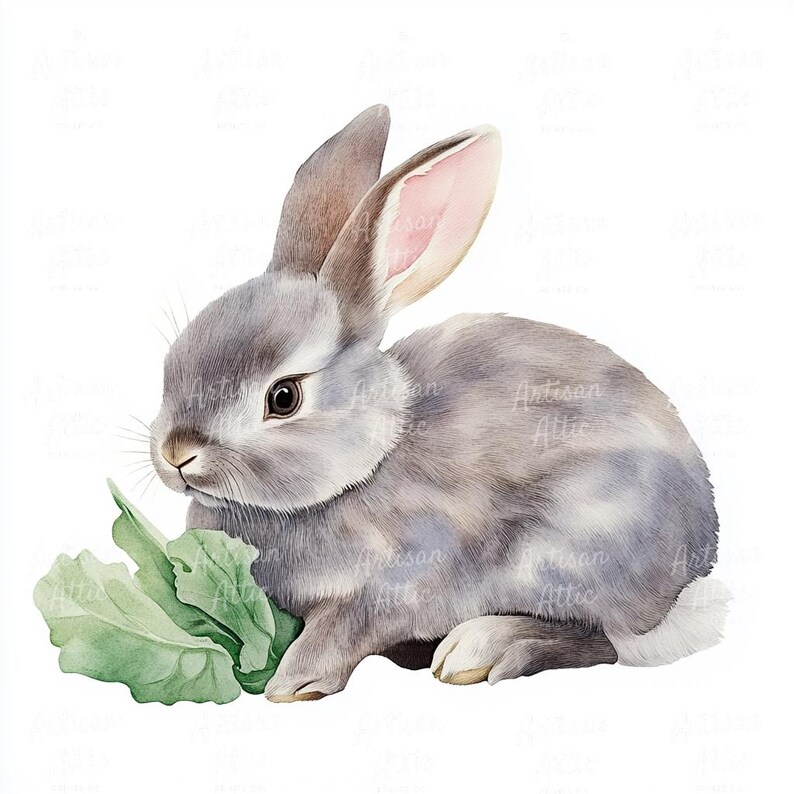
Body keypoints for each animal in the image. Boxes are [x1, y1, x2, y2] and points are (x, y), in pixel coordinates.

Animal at [149, 105, 730, 702]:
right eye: (174, 358)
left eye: (283, 398)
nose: (176, 454)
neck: (366, 465)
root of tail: (691, 574)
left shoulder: (394, 584)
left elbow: (340, 632)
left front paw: (291, 685)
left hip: (573, 553)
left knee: (602, 641)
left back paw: (480, 649)